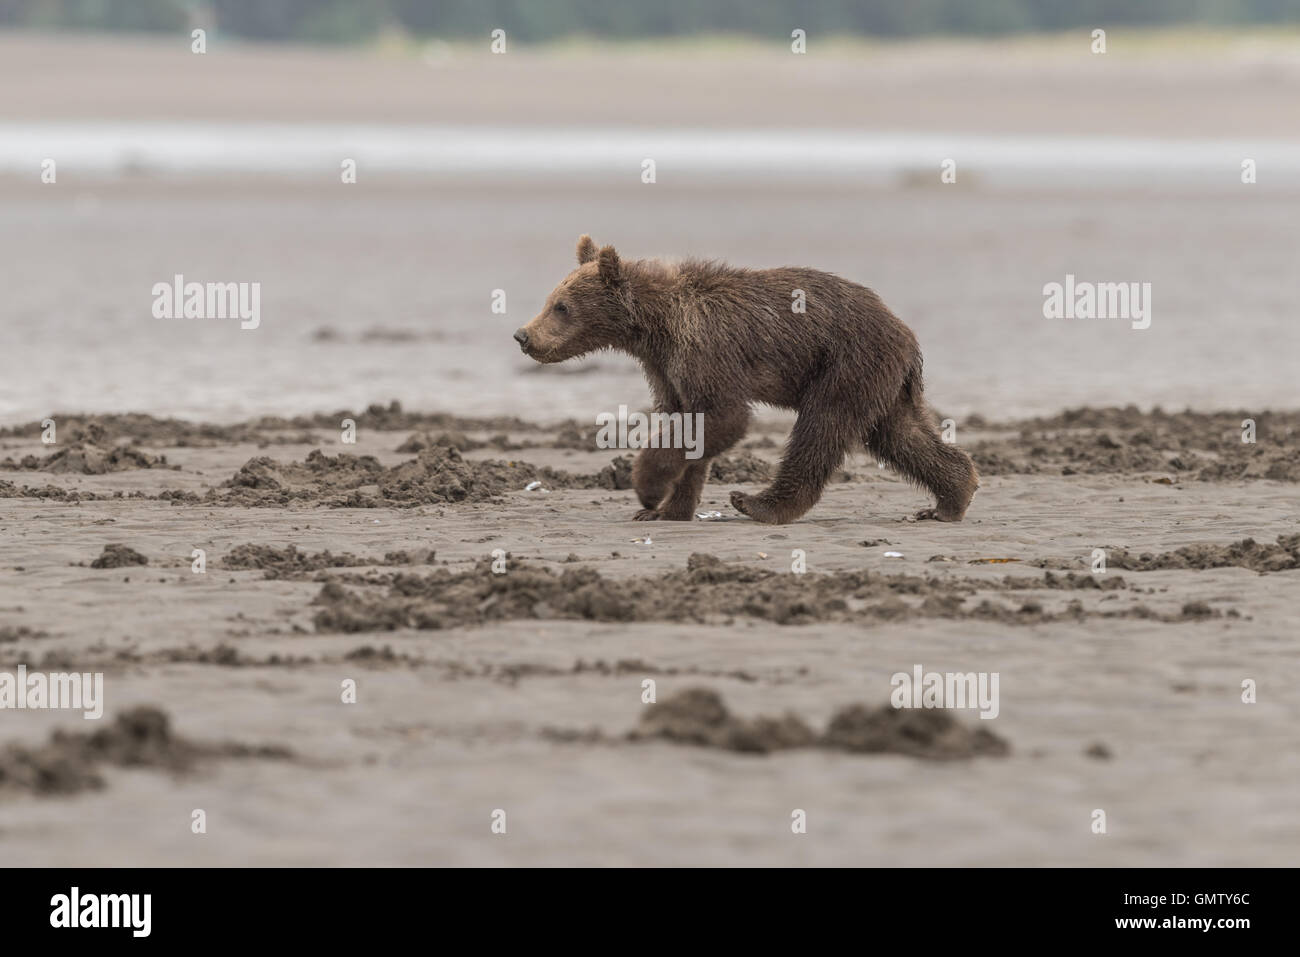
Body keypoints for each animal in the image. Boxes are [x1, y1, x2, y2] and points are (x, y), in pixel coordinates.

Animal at [513, 235, 978, 525]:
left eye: (561, 306)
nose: (523, 335)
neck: (655, 327)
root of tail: (905, 332)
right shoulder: (666, 368)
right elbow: (689, 422)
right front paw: (665, 510)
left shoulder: (706, 351)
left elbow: (725, 417)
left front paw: (647, 489)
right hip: (883, 383)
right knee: (900, 434)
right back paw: (949, 499)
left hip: (845, 364)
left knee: (822, 429)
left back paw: (758, 502)